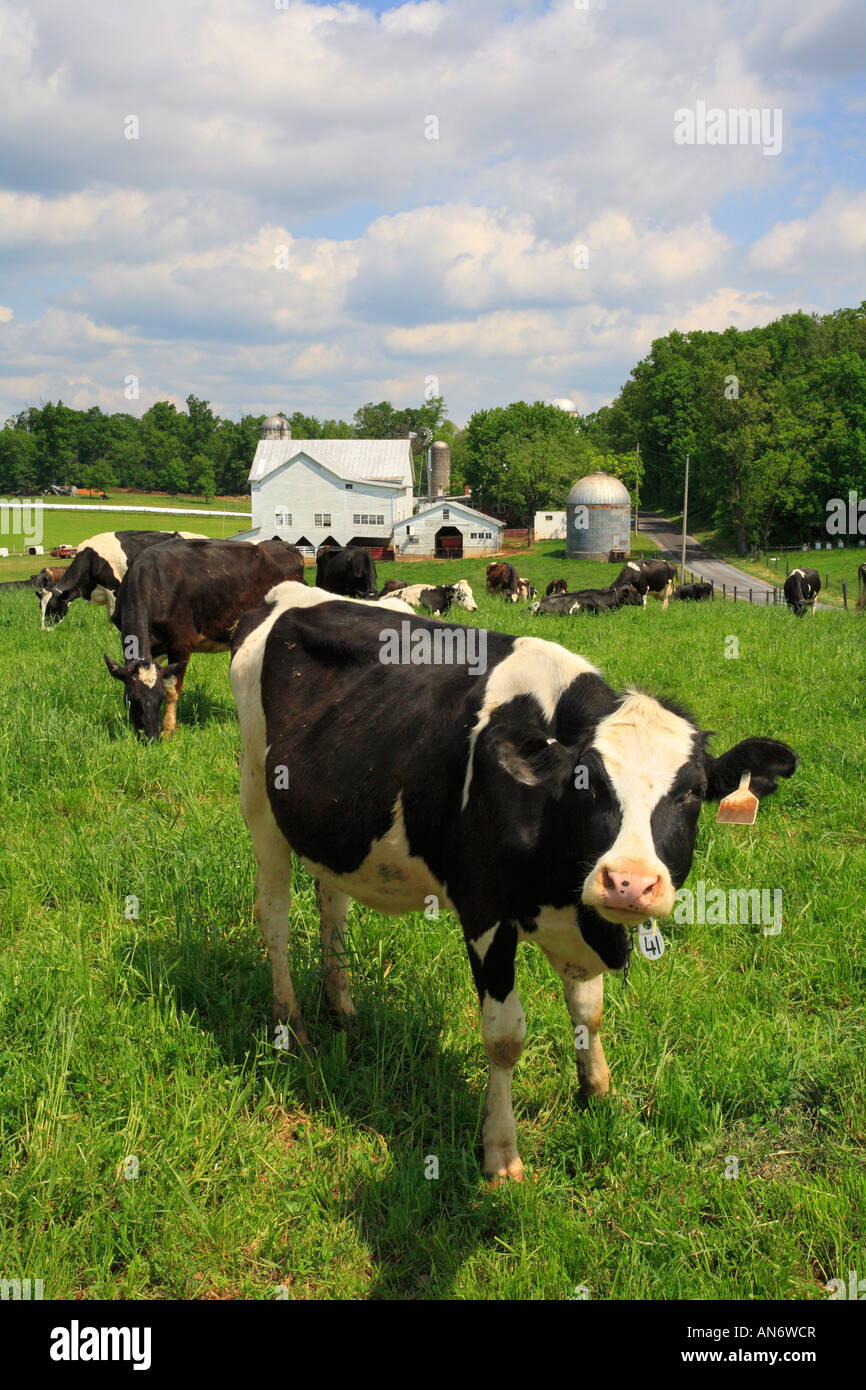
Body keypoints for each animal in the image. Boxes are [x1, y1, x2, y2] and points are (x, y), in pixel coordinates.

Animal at [104, 538, 305, 740]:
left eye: (160, 698)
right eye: (132, 699)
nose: (151, 737)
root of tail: (286, 545)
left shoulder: (181, 644)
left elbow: (173, 689)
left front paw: (168, 730)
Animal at [229, 585, 797, 1182]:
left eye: (691, 792)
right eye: (588, 782)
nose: (629, 882)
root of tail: (293, 593)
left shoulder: (580, 920)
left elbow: (588, 1009)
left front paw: (598, 1092)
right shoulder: (485, 914)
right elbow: (504, 1036)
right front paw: (501, 1153)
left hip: (330, 828)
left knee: (332, 905)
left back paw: (342, 1008)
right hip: (259, 800)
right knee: (273, 915)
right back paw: (291, 1027)